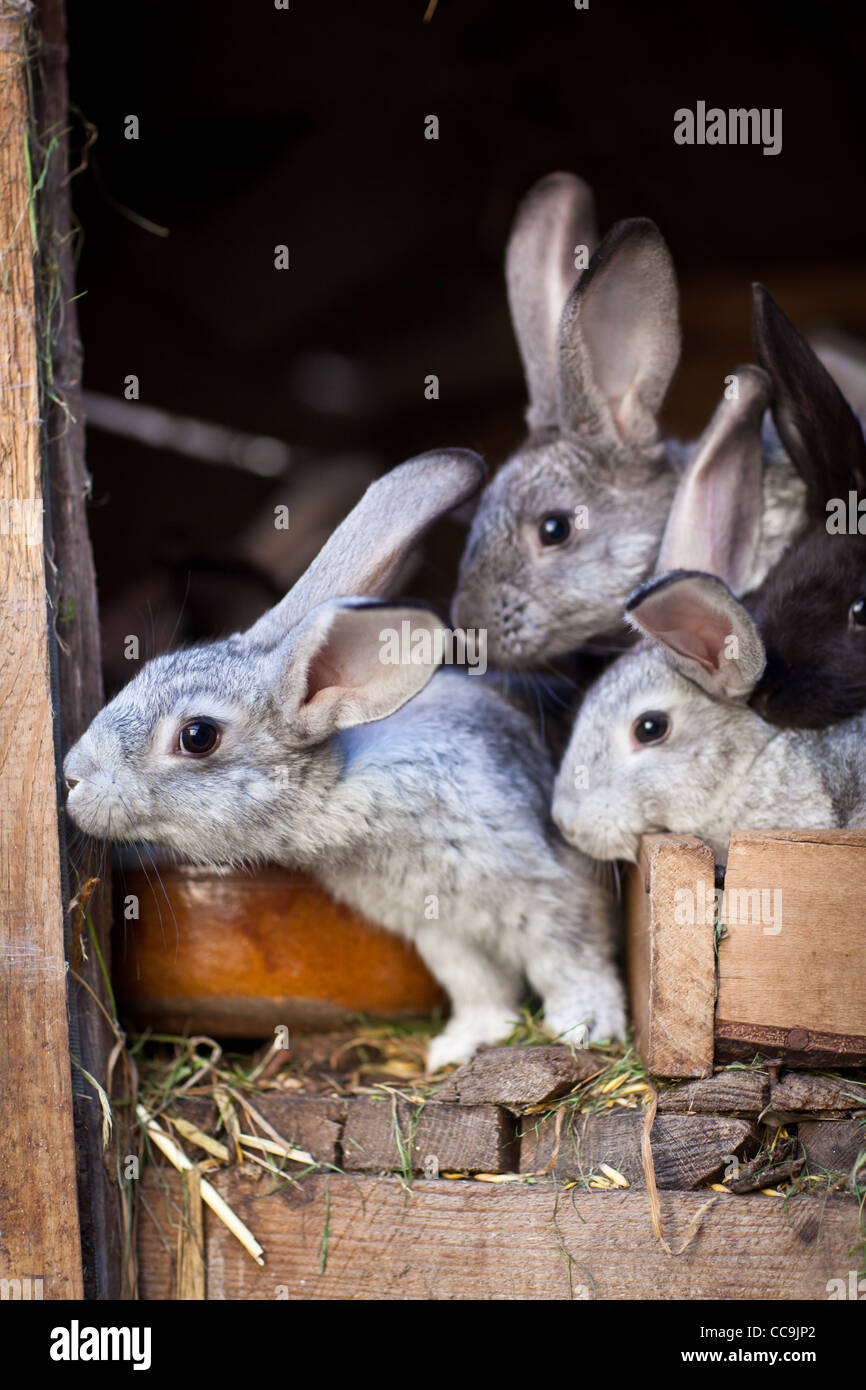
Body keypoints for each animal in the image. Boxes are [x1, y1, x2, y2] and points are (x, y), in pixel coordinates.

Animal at [64, 448, 626, 1071]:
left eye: (197, 736)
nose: (72, 776)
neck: (341, 785)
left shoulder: (549, 890)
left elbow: (570, 960)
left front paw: (584, 1026)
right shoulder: (443, 935)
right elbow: (479, 987)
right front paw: (460, 1046)